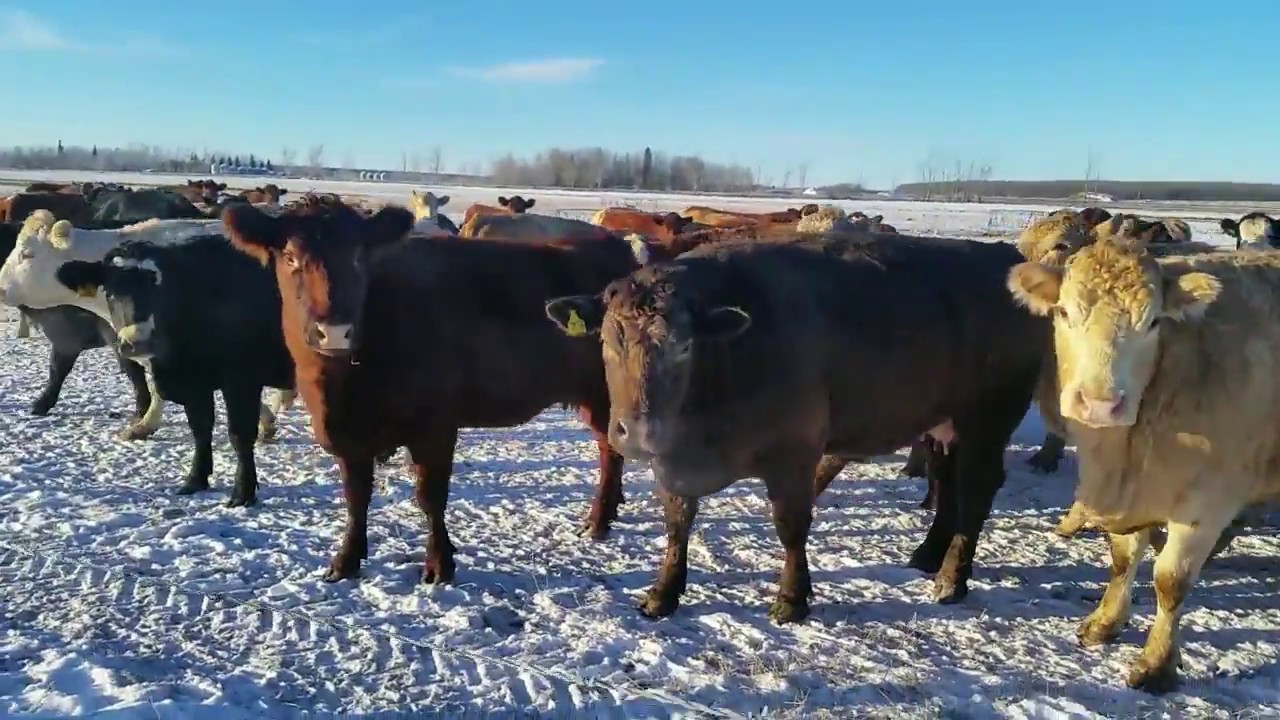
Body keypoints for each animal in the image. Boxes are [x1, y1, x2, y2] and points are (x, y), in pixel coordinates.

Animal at [53, 233, 295, 507]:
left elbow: (239, 435)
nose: (137, 341)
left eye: (161, 287)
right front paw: (196, 480)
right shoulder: (194, 384)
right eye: (110, 291)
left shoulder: (242, 381)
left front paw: (243, 493)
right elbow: (200, 430)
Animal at [218, 195, 672, 582]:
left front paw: (439, 564)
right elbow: (355, 497)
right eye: (290, 257)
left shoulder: (435, 426)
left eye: (359, 256)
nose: (335, 330)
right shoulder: (347, 435)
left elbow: (430, 496)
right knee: (608, 448)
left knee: (610, 450)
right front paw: (346, 560)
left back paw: (598, 519)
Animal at [544, 230, 1049, 623]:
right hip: (942, 421)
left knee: (977, 487)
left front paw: (792, 598)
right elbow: (677, 523)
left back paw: (951, 578)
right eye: (607, 340)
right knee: (946, 478)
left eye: (684, 346)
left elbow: (790, 525)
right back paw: (928, 553)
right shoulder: (673, 462)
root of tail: (1002, 256)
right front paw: (663, 592)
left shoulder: (794, 453)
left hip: (990, 415)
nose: (642, 433)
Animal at [1005, 226, 1280, 693]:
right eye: (1063, 312)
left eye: (1153, 322)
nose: (1100, 404)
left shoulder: (1209, 500)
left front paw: (1156, 664)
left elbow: (1170, 582)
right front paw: (1105, 621)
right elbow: (1122, 559)